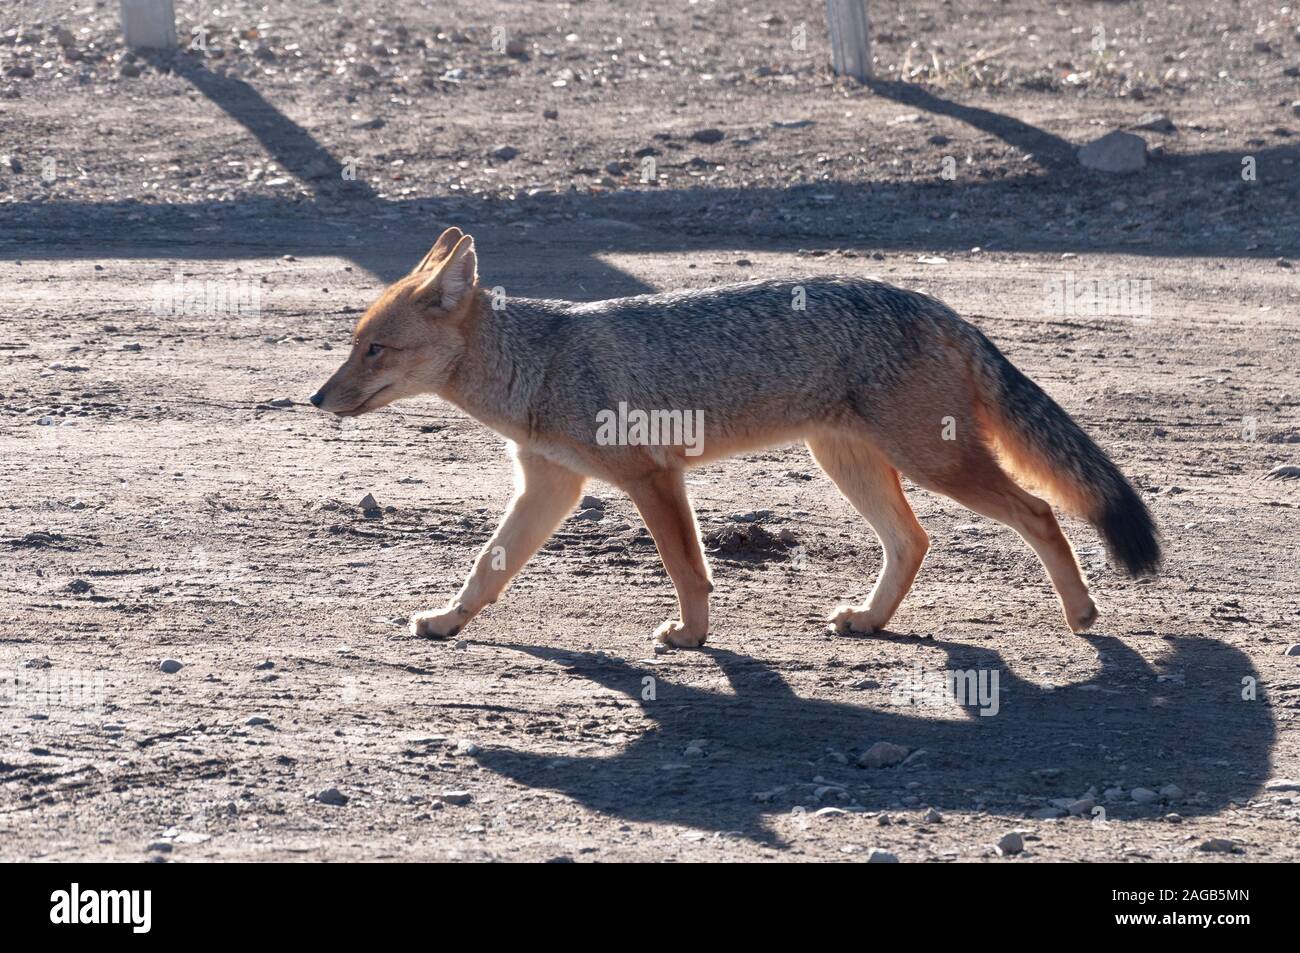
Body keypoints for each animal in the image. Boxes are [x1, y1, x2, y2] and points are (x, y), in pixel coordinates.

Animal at [311, 227, 1161, 648]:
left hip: (935, 461)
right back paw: (871, 620)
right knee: (914, 541)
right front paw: (448, 621)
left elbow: (689, 569)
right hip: (851, 462)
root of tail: (934, 302)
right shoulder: (552, 485)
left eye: (373, 350)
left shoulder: (651, 477)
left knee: (1039, 512)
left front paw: (690, 635)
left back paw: (1081, 615)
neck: (542, 360)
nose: (316, 397)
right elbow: (486, 569)